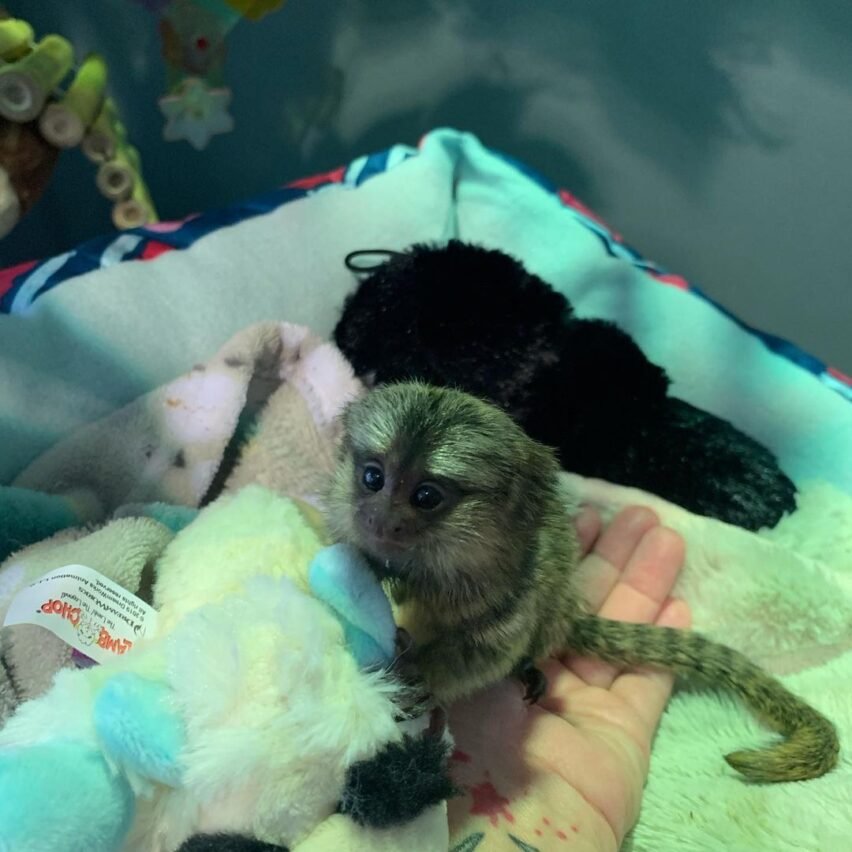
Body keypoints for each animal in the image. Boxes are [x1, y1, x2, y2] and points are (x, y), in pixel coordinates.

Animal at [323, 381, 839, 784]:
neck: (428, 570)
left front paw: (418, 675)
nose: (379, 520)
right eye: (373, 478)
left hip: (551, 608)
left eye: (425, 496)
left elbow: (486, 653)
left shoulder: (518, 593)